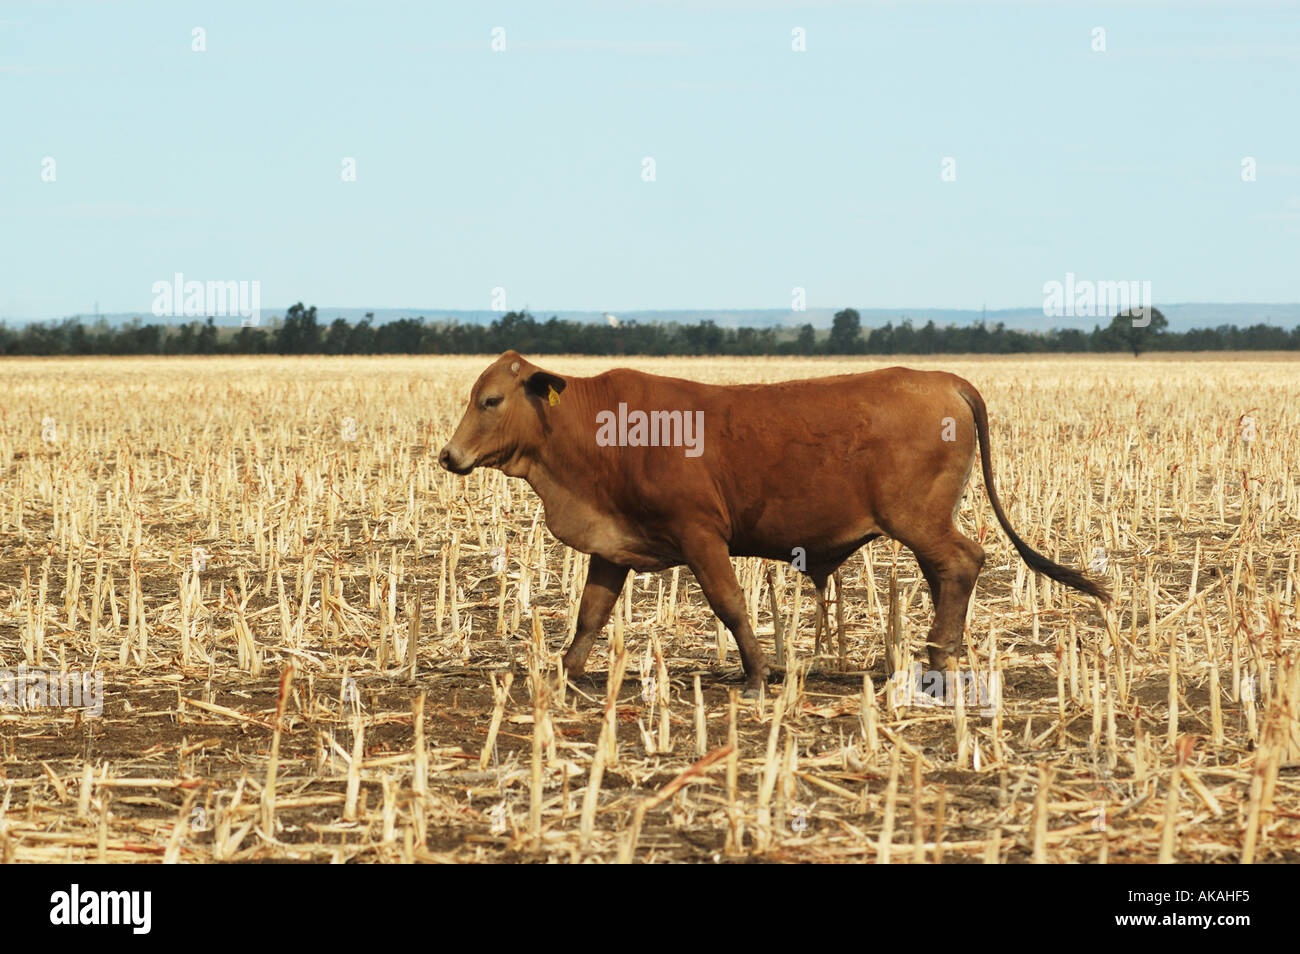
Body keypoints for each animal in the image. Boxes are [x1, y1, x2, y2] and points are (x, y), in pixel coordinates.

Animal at [439, 351, 1109, 697]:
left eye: (491, 400)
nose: (449, 456)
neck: (601, 432)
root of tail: (943, 379)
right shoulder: (612, 546)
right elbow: (590, 614)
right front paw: (565, 675)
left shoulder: (700, 534)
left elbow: (731, 604)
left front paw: (759, 675)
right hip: (923, 525)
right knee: (948, 574)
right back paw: (937, 655)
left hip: (918, 519)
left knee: (964, 562)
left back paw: (940, 661)